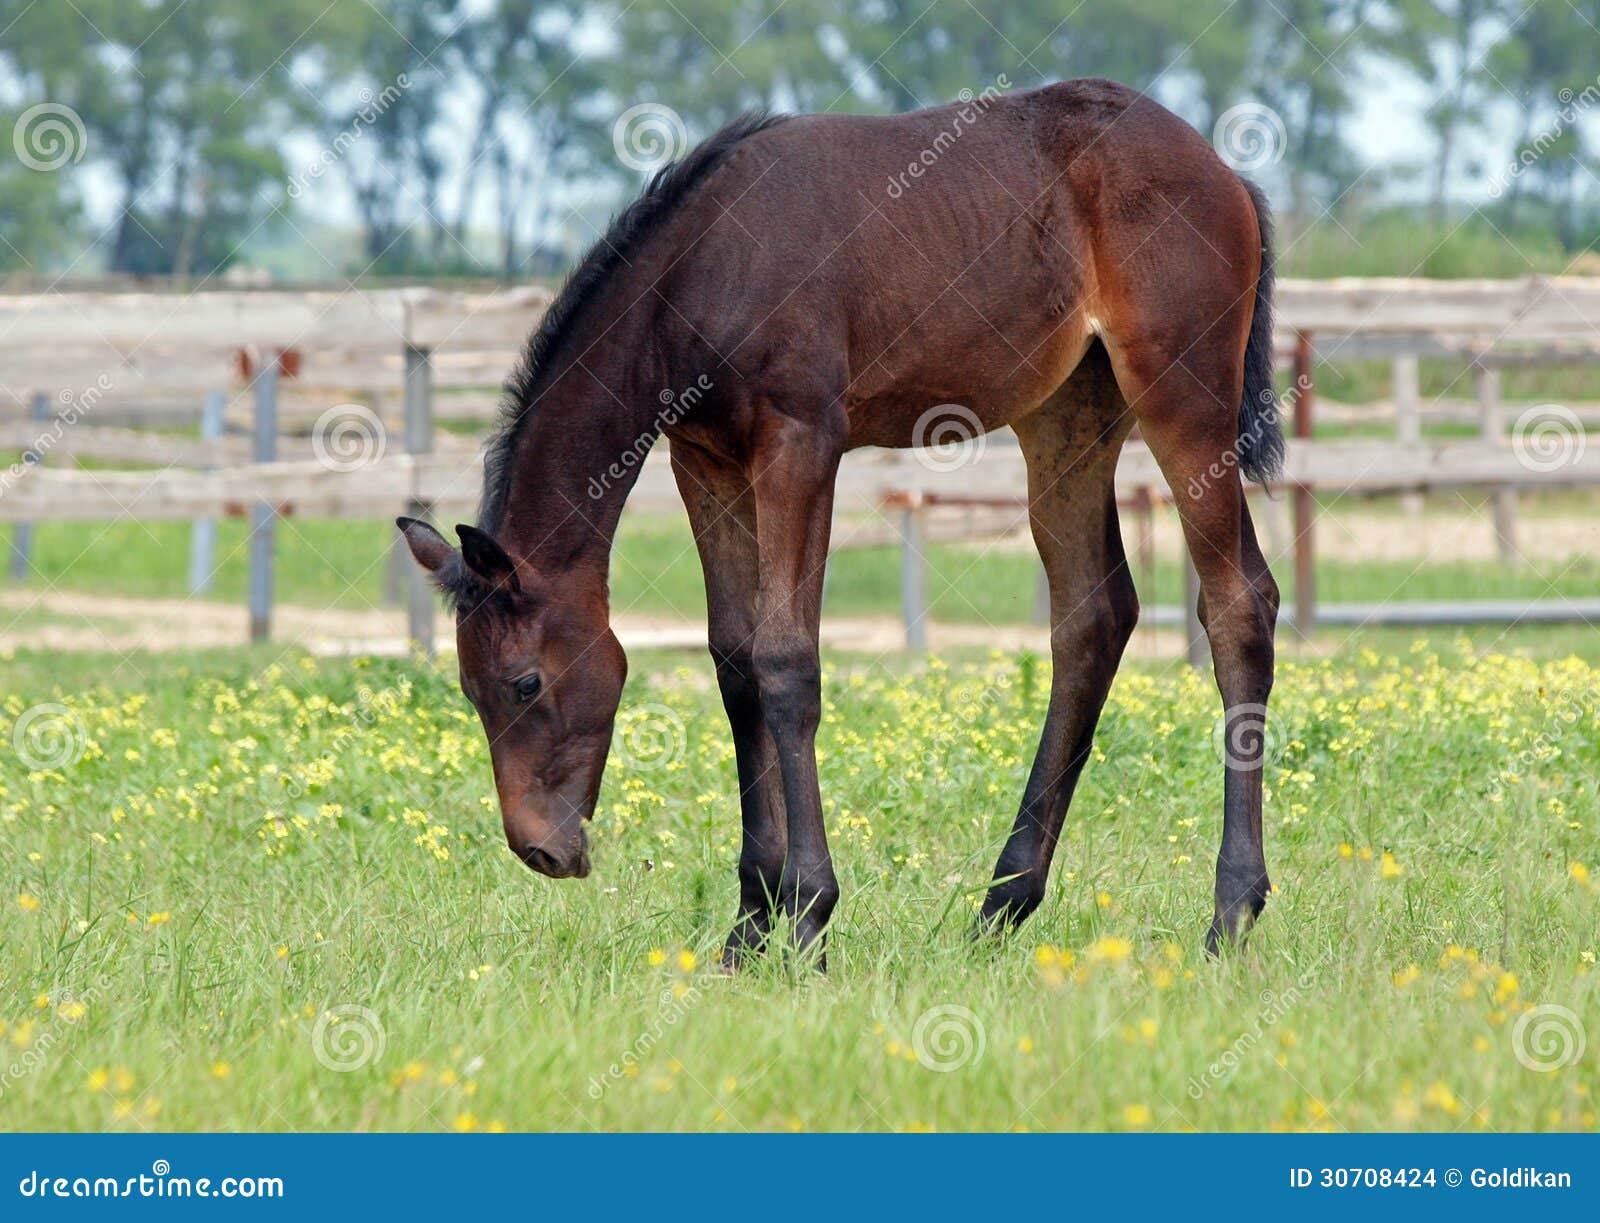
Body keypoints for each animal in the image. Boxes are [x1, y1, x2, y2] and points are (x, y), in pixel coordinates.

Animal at [399, 77, 1284, 967]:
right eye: (469, 688)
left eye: (525, 681)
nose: (542, 849)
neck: (700, 268)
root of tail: (1225, 173)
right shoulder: (706, 461)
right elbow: (735, 661)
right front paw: (748, 926)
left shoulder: (801, 442)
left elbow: (788, 661)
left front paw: (807, 914)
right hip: (1070, 413)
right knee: (1092, 617)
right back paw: (1001, 904)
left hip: (1182, 394)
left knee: (1239, 602)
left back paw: (1230, 913)